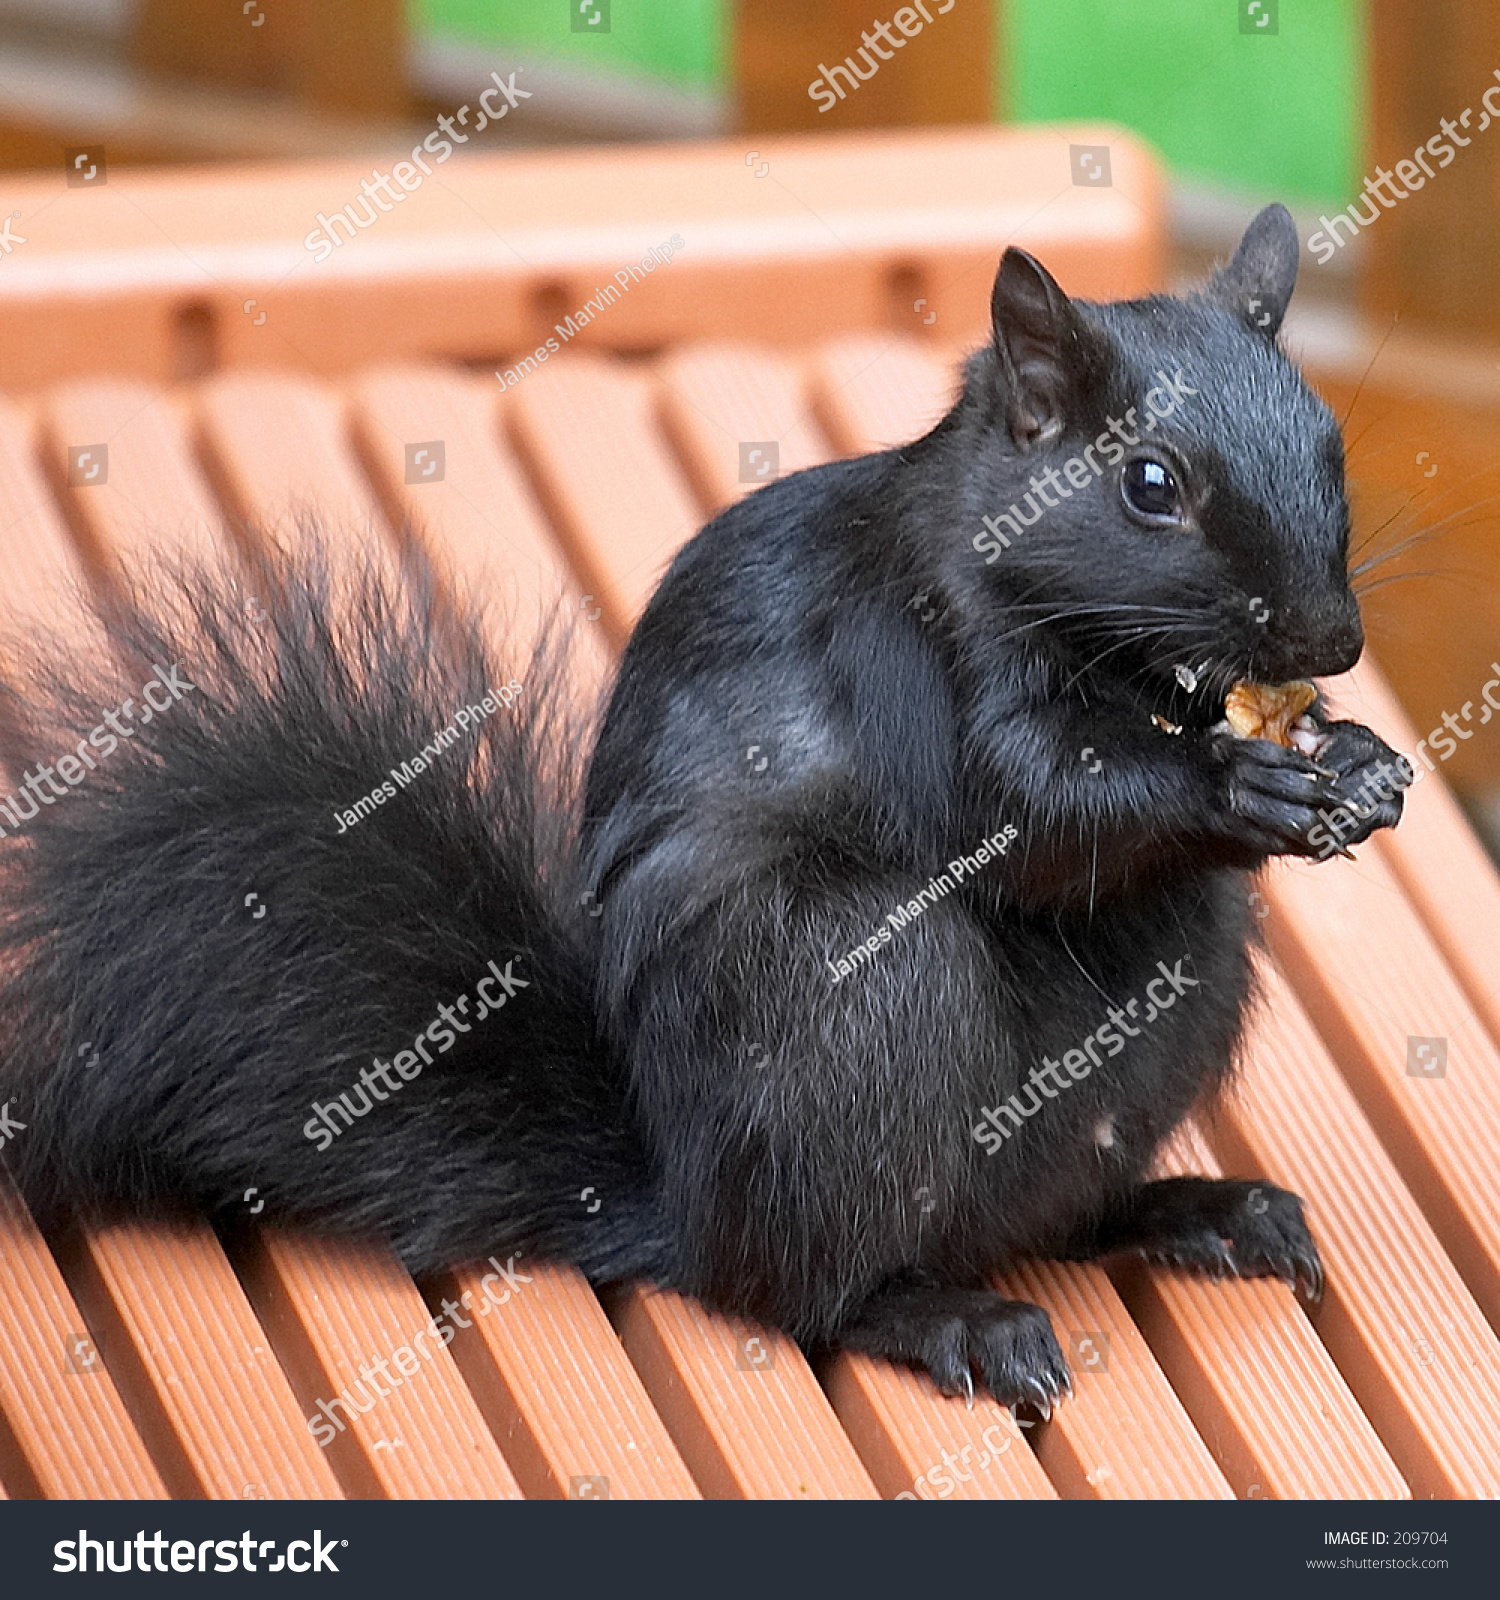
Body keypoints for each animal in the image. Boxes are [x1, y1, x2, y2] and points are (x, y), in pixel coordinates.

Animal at [0, 204, 1405, 1411]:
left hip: (1169, 1010)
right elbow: (1035, 814)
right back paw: (949, 1316)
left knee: (1060, 1211)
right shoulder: (917, 656)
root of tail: (680, 1206)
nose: (1332, 640)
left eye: (1333, 443)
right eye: (1150, 483)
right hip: (853, 1002)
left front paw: (1357, 758)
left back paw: (1198, 1213)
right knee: (802, 1291)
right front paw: (1241, 780)